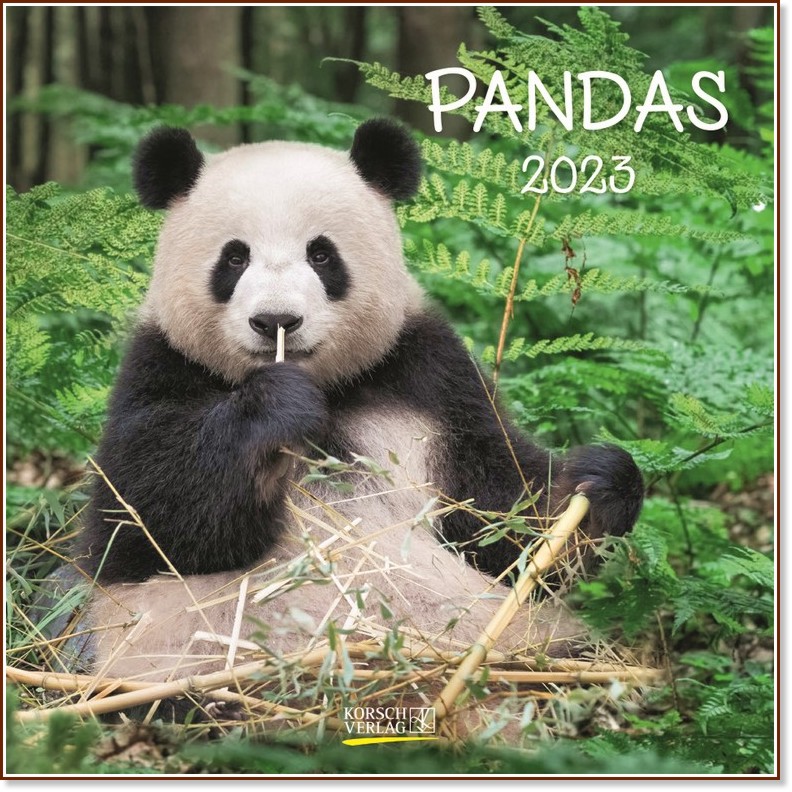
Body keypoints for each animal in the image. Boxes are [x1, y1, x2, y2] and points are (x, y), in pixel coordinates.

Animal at [77, 119, 643, 688]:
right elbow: (139, 521)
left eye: (321, 254)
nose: (276, 320)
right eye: (234, 257)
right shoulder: (160, 365)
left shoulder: (428, 376)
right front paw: (275, 410)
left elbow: (499, 513)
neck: (328, 388)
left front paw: (598, 484)